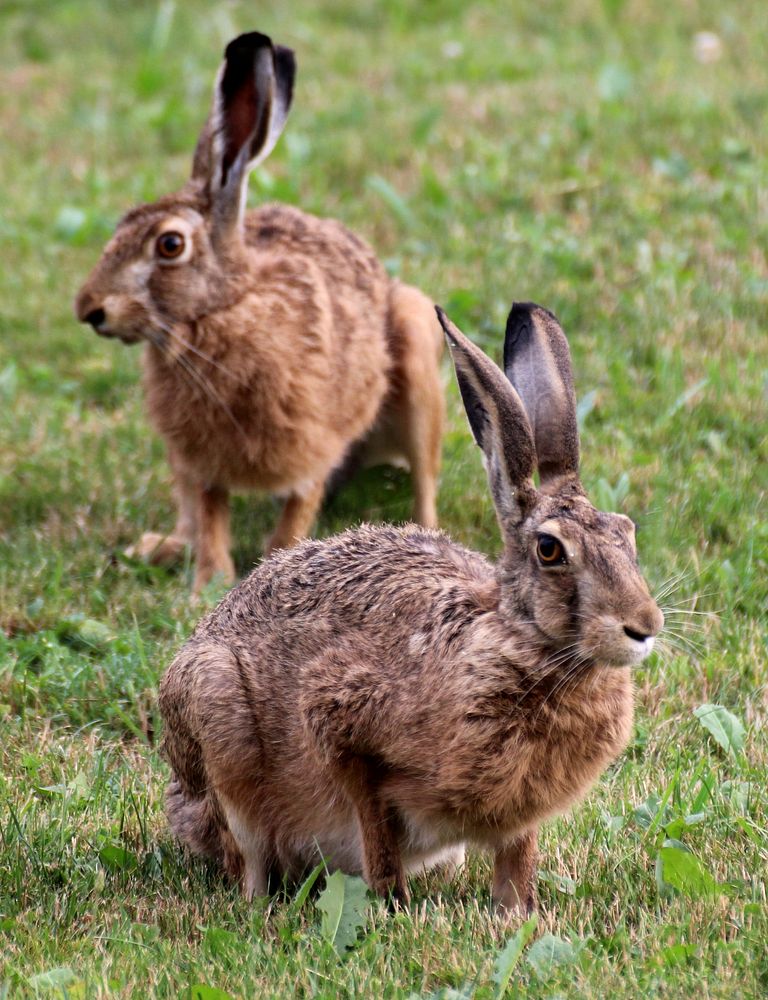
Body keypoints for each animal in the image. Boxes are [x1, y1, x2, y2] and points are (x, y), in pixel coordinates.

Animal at [74, 32, 444, 592]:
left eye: (169, 245)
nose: (89, 309)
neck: (219, 312)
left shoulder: (313, 447)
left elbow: (293, 519)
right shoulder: (198, 458)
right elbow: (209, 517)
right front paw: (210, 584)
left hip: (419, 350)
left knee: (425, 481)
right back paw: (158, 548)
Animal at [158, 301, 663, 915]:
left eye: (627, 532)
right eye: (550, 550)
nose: (645, 627)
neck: (514, 643)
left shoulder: (522, 810)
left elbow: (516, 860)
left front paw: (516, 914)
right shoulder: (340, 722)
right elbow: (376, 834)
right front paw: (393, 908)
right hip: (217, 719)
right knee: (246, 856)